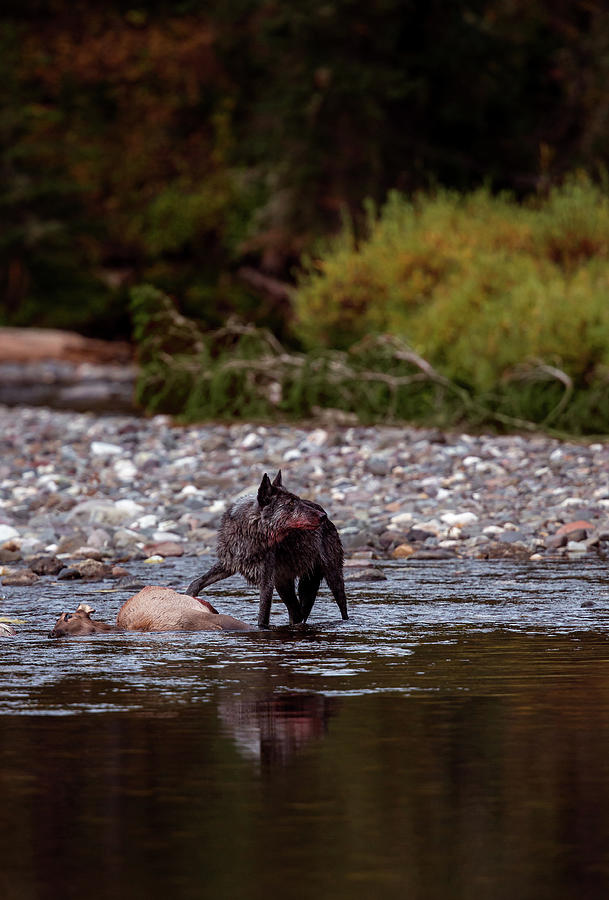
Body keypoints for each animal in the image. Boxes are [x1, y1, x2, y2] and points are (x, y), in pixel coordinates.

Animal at [186, 471, 348, 627]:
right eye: (291, 503)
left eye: (298, 500)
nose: (323, 515)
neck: (249, 533)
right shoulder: (228, 564)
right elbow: (196, 582)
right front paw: (188, 597)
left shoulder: (266, 583)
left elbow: (263, 616)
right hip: (284, 585)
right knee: (297, 612)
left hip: (333, 577)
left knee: (341, 607)